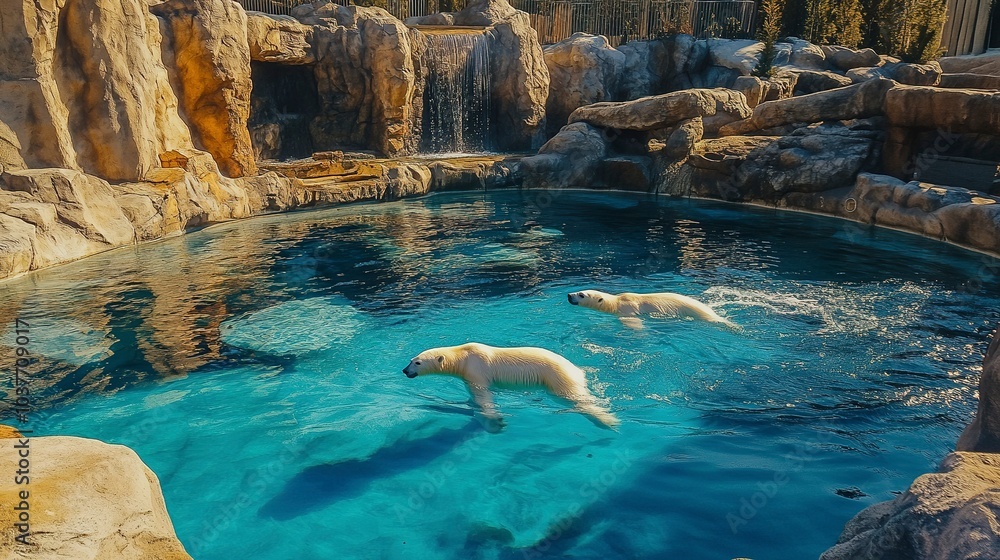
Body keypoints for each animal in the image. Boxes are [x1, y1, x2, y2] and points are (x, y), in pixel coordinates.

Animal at [403, 343, 619, 431]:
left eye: (418, 363)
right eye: (411, 360)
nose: (405, 370)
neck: (463, 355)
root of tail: (576, 370)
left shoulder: (477, 370)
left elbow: (483, 397)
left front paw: (495, 421)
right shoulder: (467, 376)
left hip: (556, 377)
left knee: (573, 397)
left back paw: (605, 421)